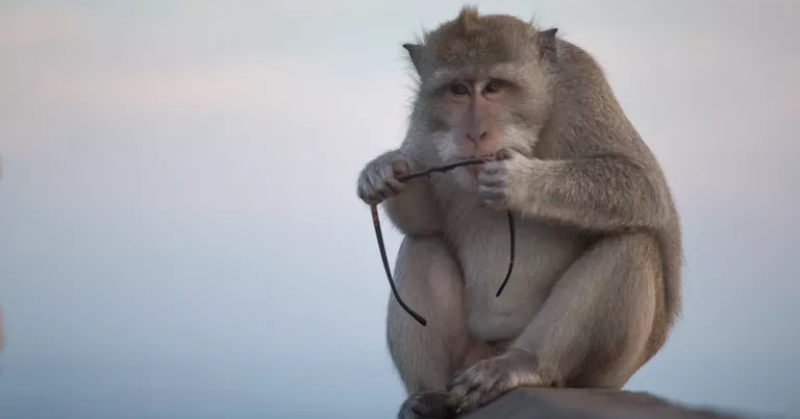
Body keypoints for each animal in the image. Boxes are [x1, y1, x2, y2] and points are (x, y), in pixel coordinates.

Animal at [355, 6, 682, 419]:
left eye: (494, 87)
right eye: (458, 90)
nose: (475, 133)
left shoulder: (583, 86)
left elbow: (643, 186)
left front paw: (518, 181)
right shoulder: (425, 119)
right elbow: (427, 221)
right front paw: (384, 170)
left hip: (605, 371)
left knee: (633, 243)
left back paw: (524, 363)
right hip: (468, 354)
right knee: (421, 244)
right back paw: (429, 397)